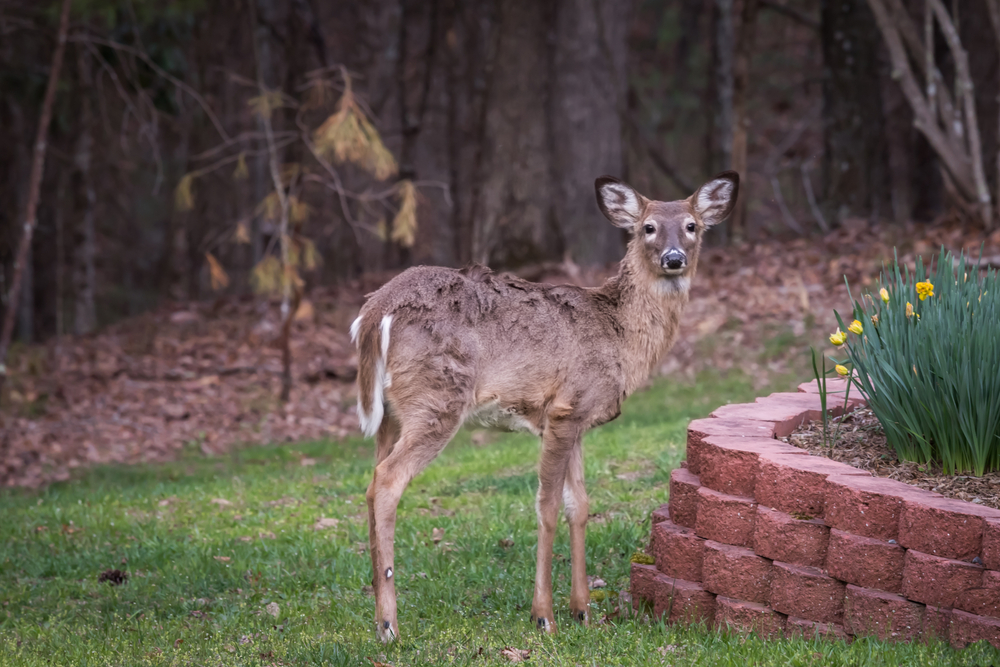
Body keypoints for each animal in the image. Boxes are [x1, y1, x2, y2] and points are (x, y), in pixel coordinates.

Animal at [351, 171, 739, 642]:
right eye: (647, 227)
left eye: (691, 226)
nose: (674, 258)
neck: (619, 336)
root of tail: (376, 311)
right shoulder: (564, 408)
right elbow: (548, 506)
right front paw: (544, 615)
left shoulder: (579, 419)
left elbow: (581, 506)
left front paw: (583, 610)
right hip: (437, 398)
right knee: (388, 480)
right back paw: (389, 623)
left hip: (390, 414)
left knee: (371, 482)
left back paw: (376, 609)